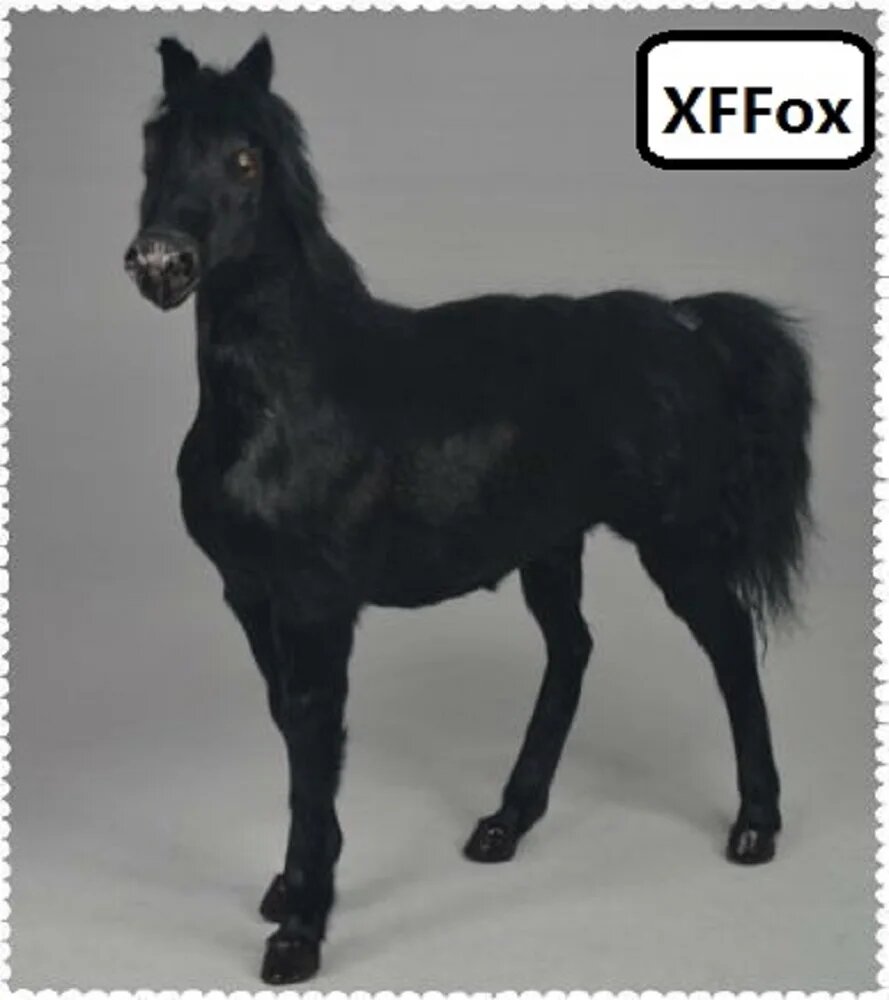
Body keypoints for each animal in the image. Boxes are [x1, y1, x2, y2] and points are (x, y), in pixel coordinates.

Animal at [124, 36, 813, 984]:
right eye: (154, 146)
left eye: (245, 158)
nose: (161, 263)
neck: (293, 396)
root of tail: (682, 323)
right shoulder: (247, 593)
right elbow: (291, 724)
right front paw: (293, 887)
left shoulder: (312, 603)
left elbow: (313, 741)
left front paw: (299, 926)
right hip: (552, 545)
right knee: (573, 650)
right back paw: (503, 825)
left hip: (674, 541)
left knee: (730, 644)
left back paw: (754, 826)